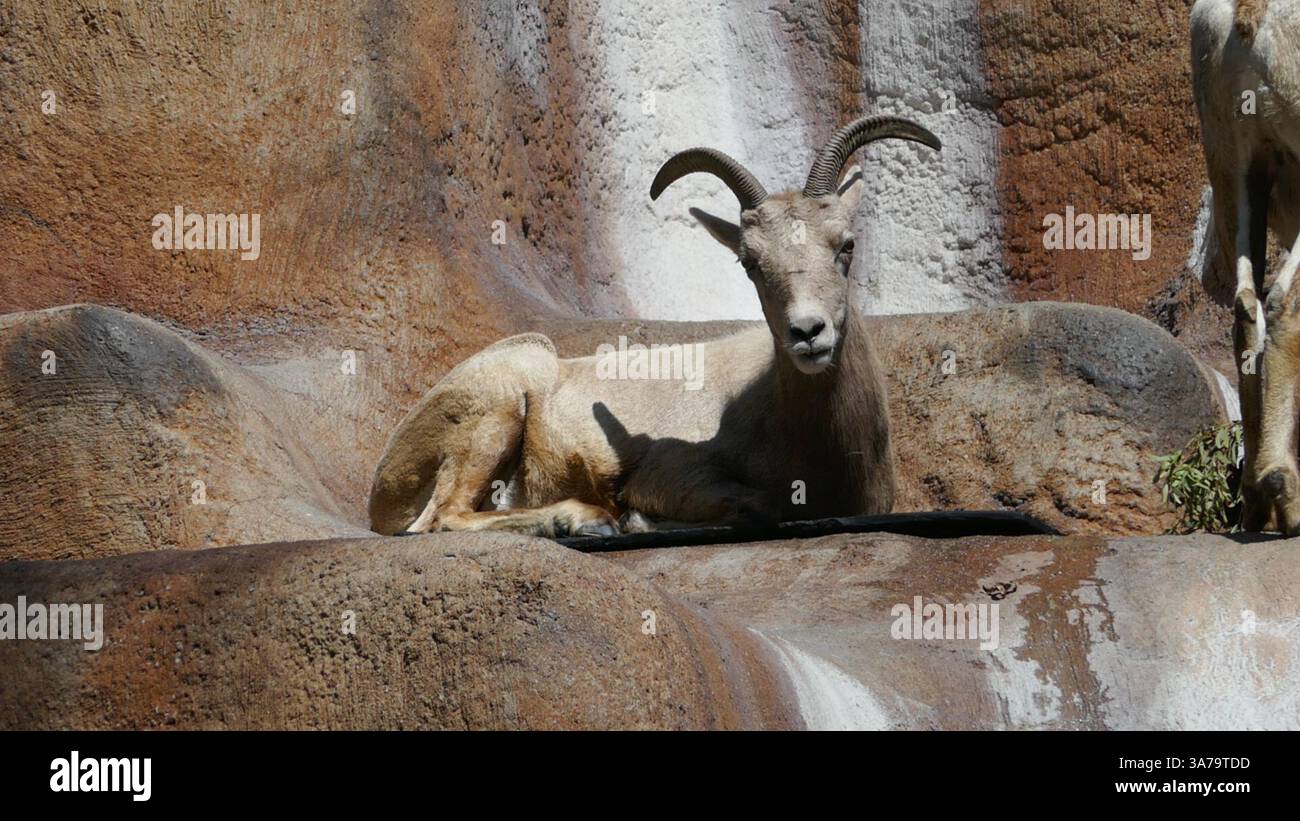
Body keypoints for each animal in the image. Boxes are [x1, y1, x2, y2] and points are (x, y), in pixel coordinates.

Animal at [367, 115, 941, 537]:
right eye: (749, 262)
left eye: (846, 244)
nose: (807, 333)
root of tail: (384, 485)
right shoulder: (674, 474)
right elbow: (756, 507)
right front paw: (636, 519)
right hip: (501, 403)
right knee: (441, 519)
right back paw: (584, 521)